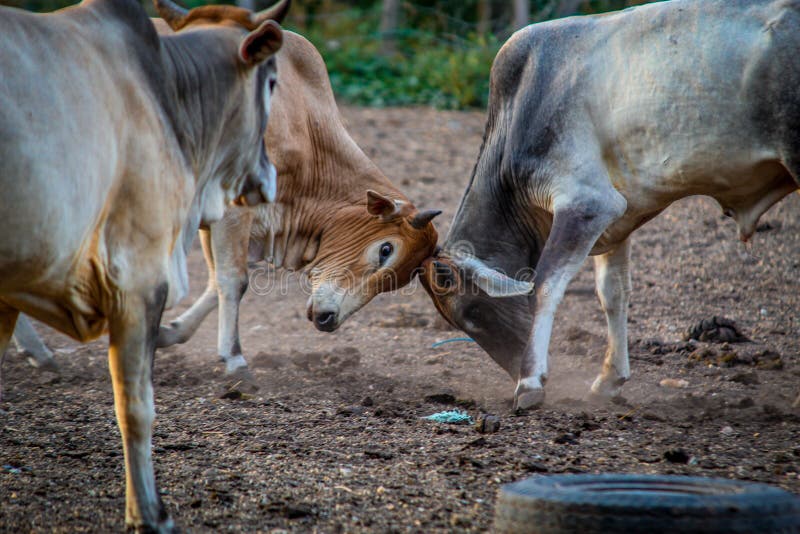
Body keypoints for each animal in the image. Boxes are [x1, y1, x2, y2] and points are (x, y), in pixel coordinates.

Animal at [0, 0, 289, 530]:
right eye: (272, 81)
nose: (270, 173)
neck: (168, 93)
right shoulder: (137, 279)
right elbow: (136, 407)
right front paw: (148, 513)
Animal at [153, 30, 441, 375]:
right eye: (386, 249)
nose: (328, 319)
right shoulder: (232, 211)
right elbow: (233, 280)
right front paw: (234, 357)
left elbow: (216, 282)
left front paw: (169, 332)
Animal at [419, 0, 800, 411]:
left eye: (471, 313)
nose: (514, 366)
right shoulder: (617, 216)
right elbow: (612, 293)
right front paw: (609, 379)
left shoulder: (586, 203)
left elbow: (545, 284)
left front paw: (530, 381)